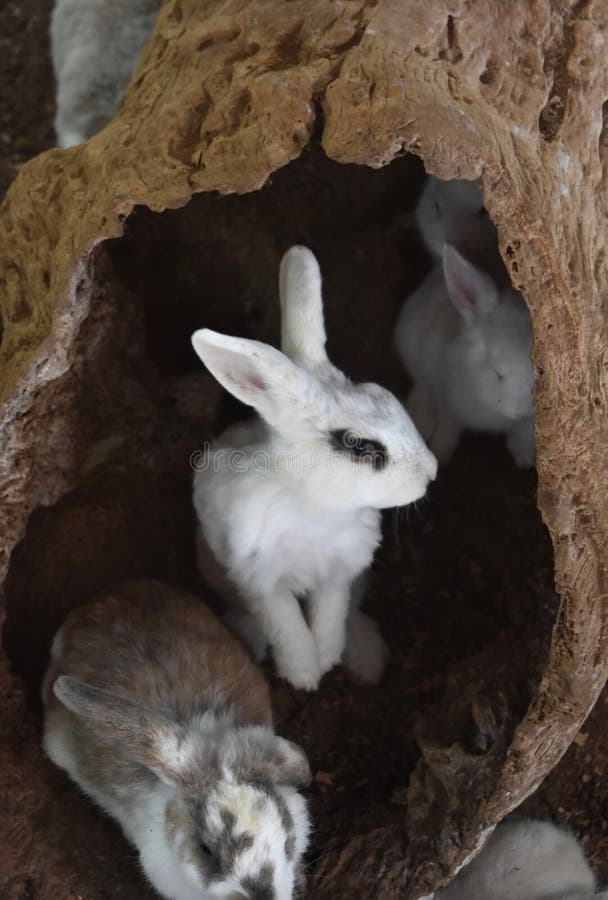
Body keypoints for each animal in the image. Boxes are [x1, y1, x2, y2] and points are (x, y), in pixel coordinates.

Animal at [191, 245, 437, 692]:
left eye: (383, 394)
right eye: (358, 445)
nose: (431, 472)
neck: (315, 511)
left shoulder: (339, 573)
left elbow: (330, 616)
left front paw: (327, 658)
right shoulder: (262, 580)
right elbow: (285, 624)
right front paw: (304, 673)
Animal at [394, 242, 535, 467]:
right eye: (495, 371)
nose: (520, 412)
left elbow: (523, 435)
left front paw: (524, 459)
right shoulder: (448, 403)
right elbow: (447, 429)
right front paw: (439, 453)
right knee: (422, 390)